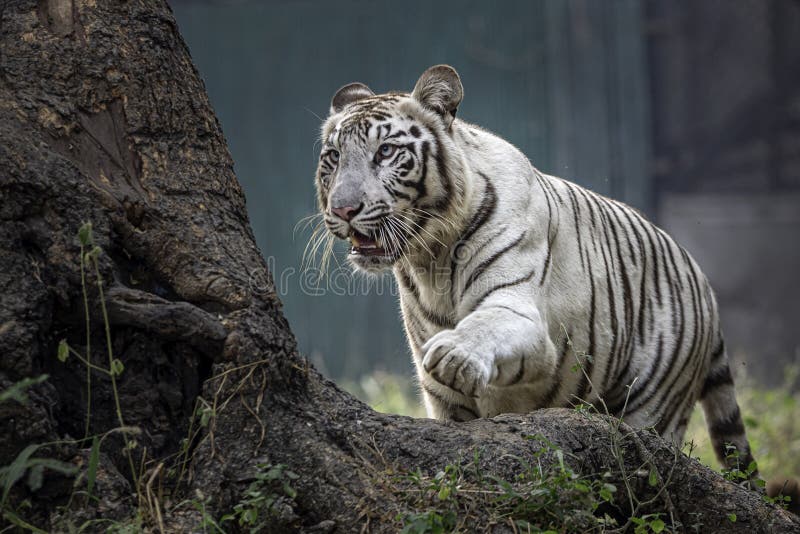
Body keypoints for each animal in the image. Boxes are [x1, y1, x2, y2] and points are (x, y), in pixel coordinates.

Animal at [314, 64, 754, 471]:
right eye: (333, 157)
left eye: (386, 152)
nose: (344, 209)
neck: (431, 260)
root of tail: (702, 280)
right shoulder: (442, 396)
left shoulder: (521, 313)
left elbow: (486, 324)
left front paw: (453, 355)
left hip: (654, 404)